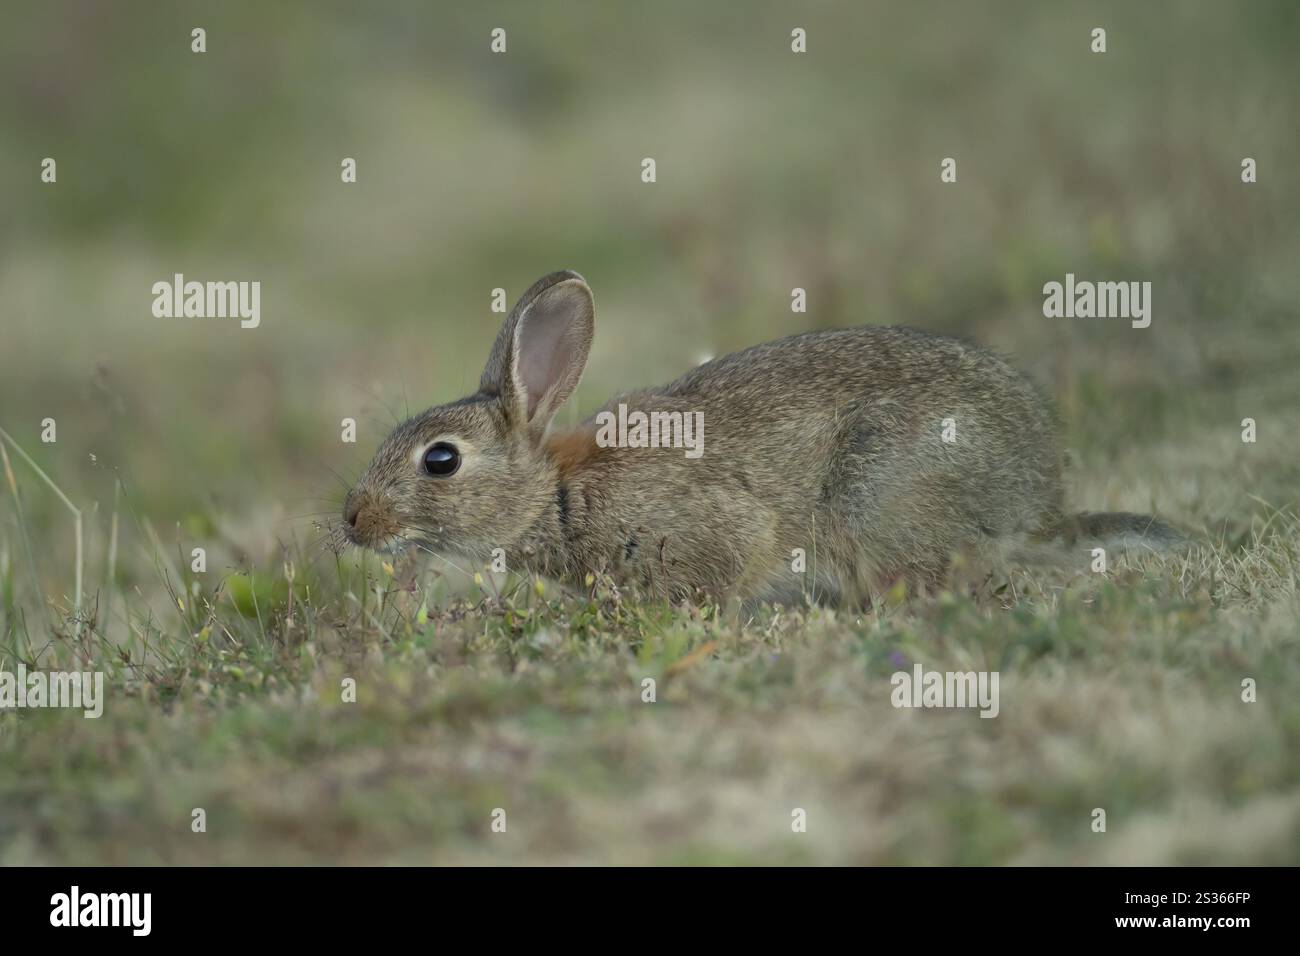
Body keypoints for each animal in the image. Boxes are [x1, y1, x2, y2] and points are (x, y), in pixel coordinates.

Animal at [342, 270, 1185, 606]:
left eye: (440, 460)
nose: (352, 522)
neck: (555, 493)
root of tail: (1035, 507)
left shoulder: (714, 529)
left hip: (877, 495)